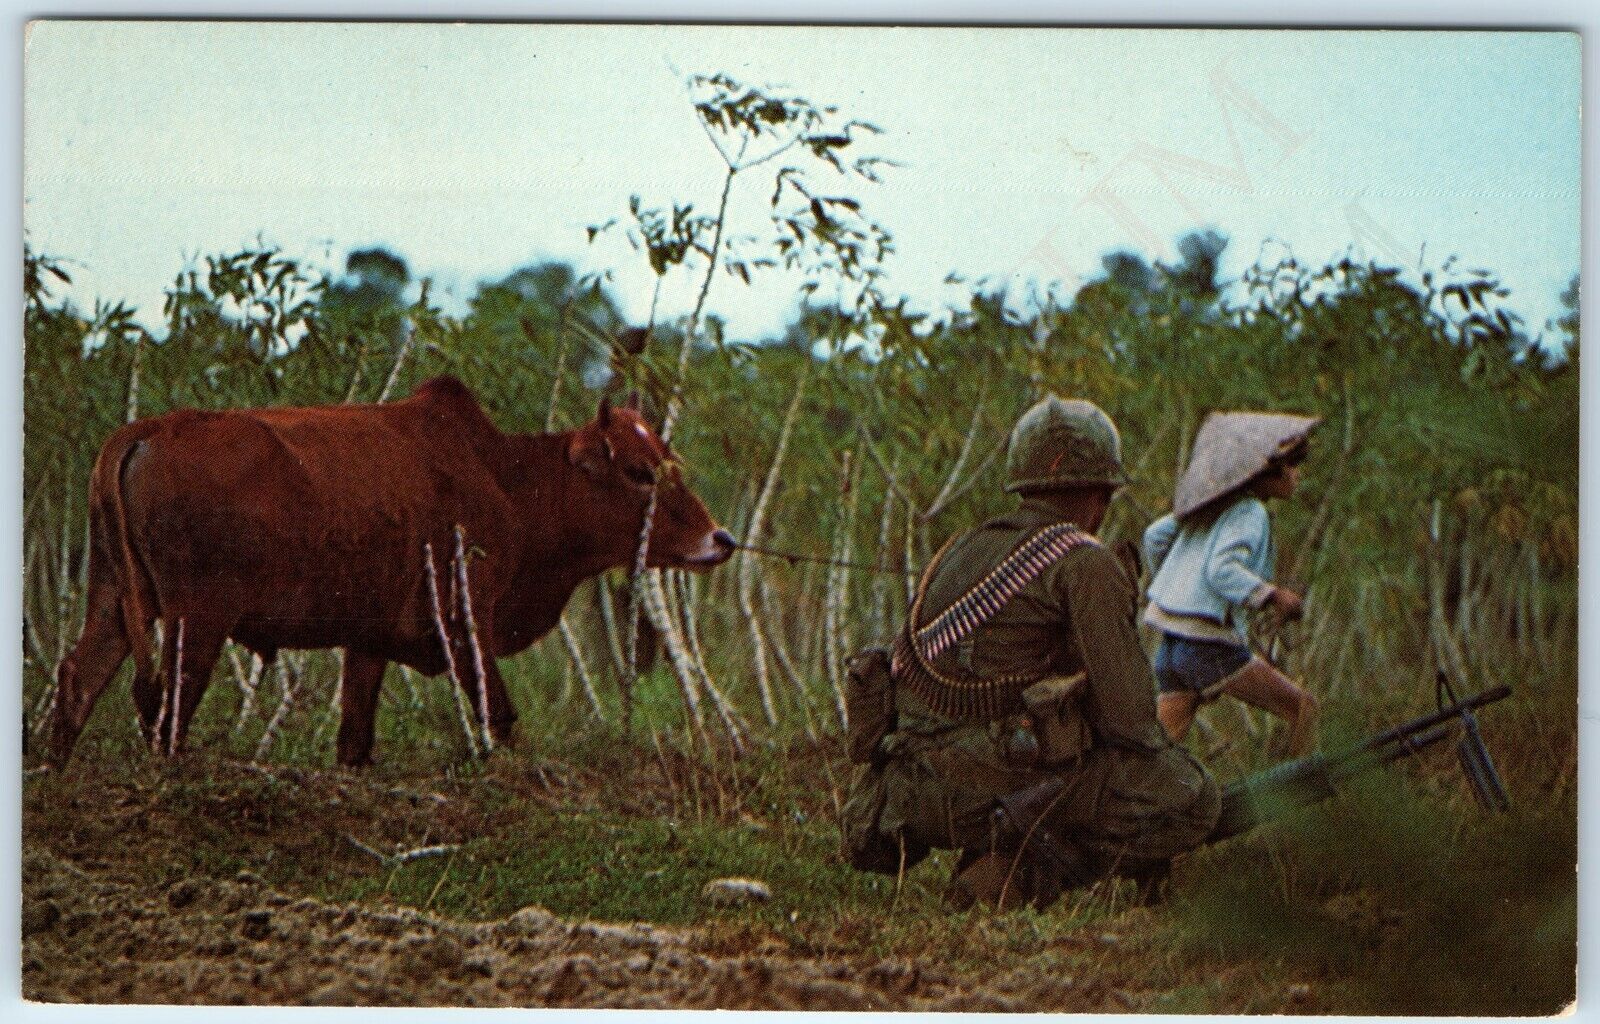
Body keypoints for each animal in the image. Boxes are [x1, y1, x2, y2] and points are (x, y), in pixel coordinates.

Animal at [47, 375, 735, 768]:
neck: (508, 481)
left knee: (79, 680)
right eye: (640, 472)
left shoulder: (368, 642)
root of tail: (147, 430)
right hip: (199, 620)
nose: (720, 539)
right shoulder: (465, 625)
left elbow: (355, 742)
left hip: (114, 602)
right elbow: (501, 719)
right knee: (170, 708)